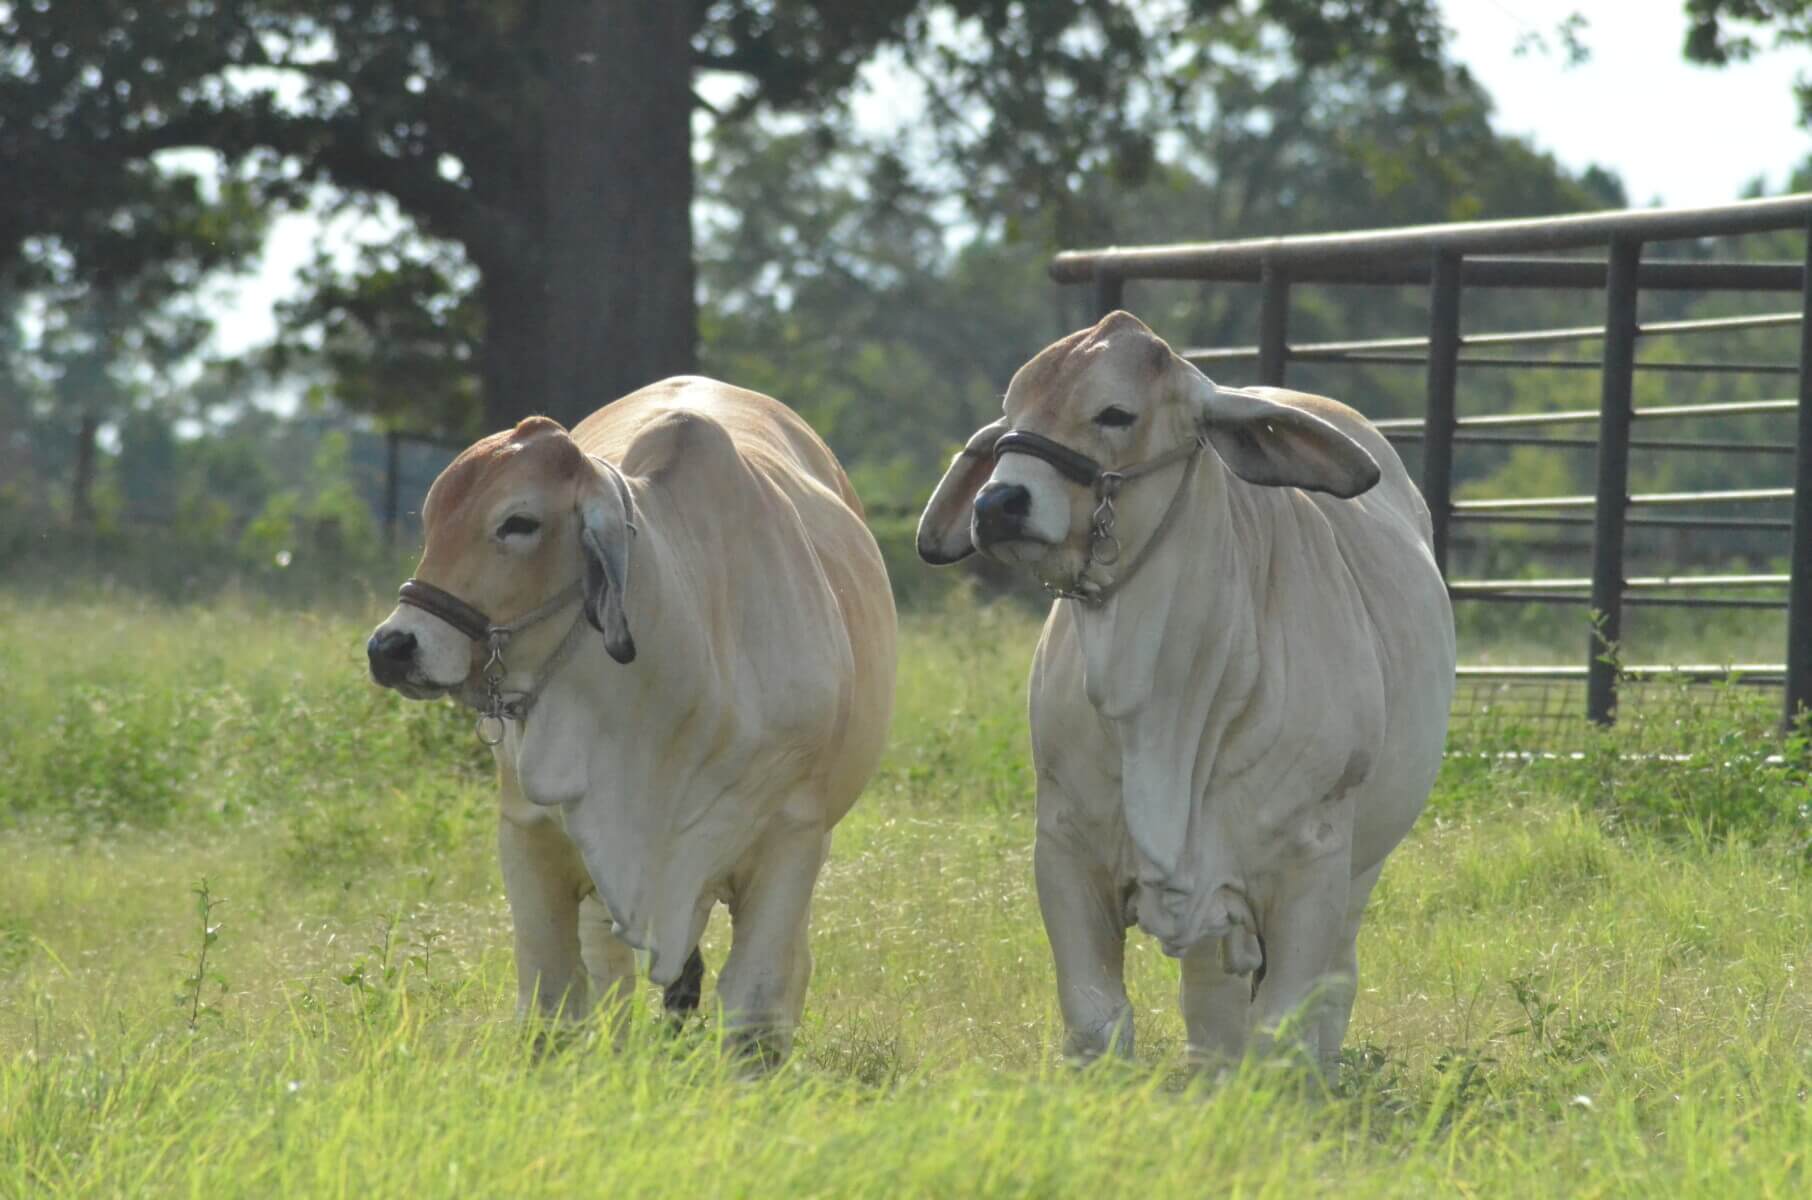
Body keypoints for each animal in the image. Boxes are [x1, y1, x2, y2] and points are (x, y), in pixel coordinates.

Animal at [367, 376, 897, 1063]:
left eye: (518, 523)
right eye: (430, 521)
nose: (392, 647)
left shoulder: (792, 837)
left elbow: (754, 1013)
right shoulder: (530, 833)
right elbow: (554, 1003)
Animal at [916, 312, 1454, 1075]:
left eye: (1115, 413)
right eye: (1010, 415)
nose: (997, 503)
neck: (1163, 705)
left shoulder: (1313, 866)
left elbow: (1283, 1029)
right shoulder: (1064, 849)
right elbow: (1098, 1019)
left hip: (1361, 870)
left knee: (1332, 987)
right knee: (1211, 1002)